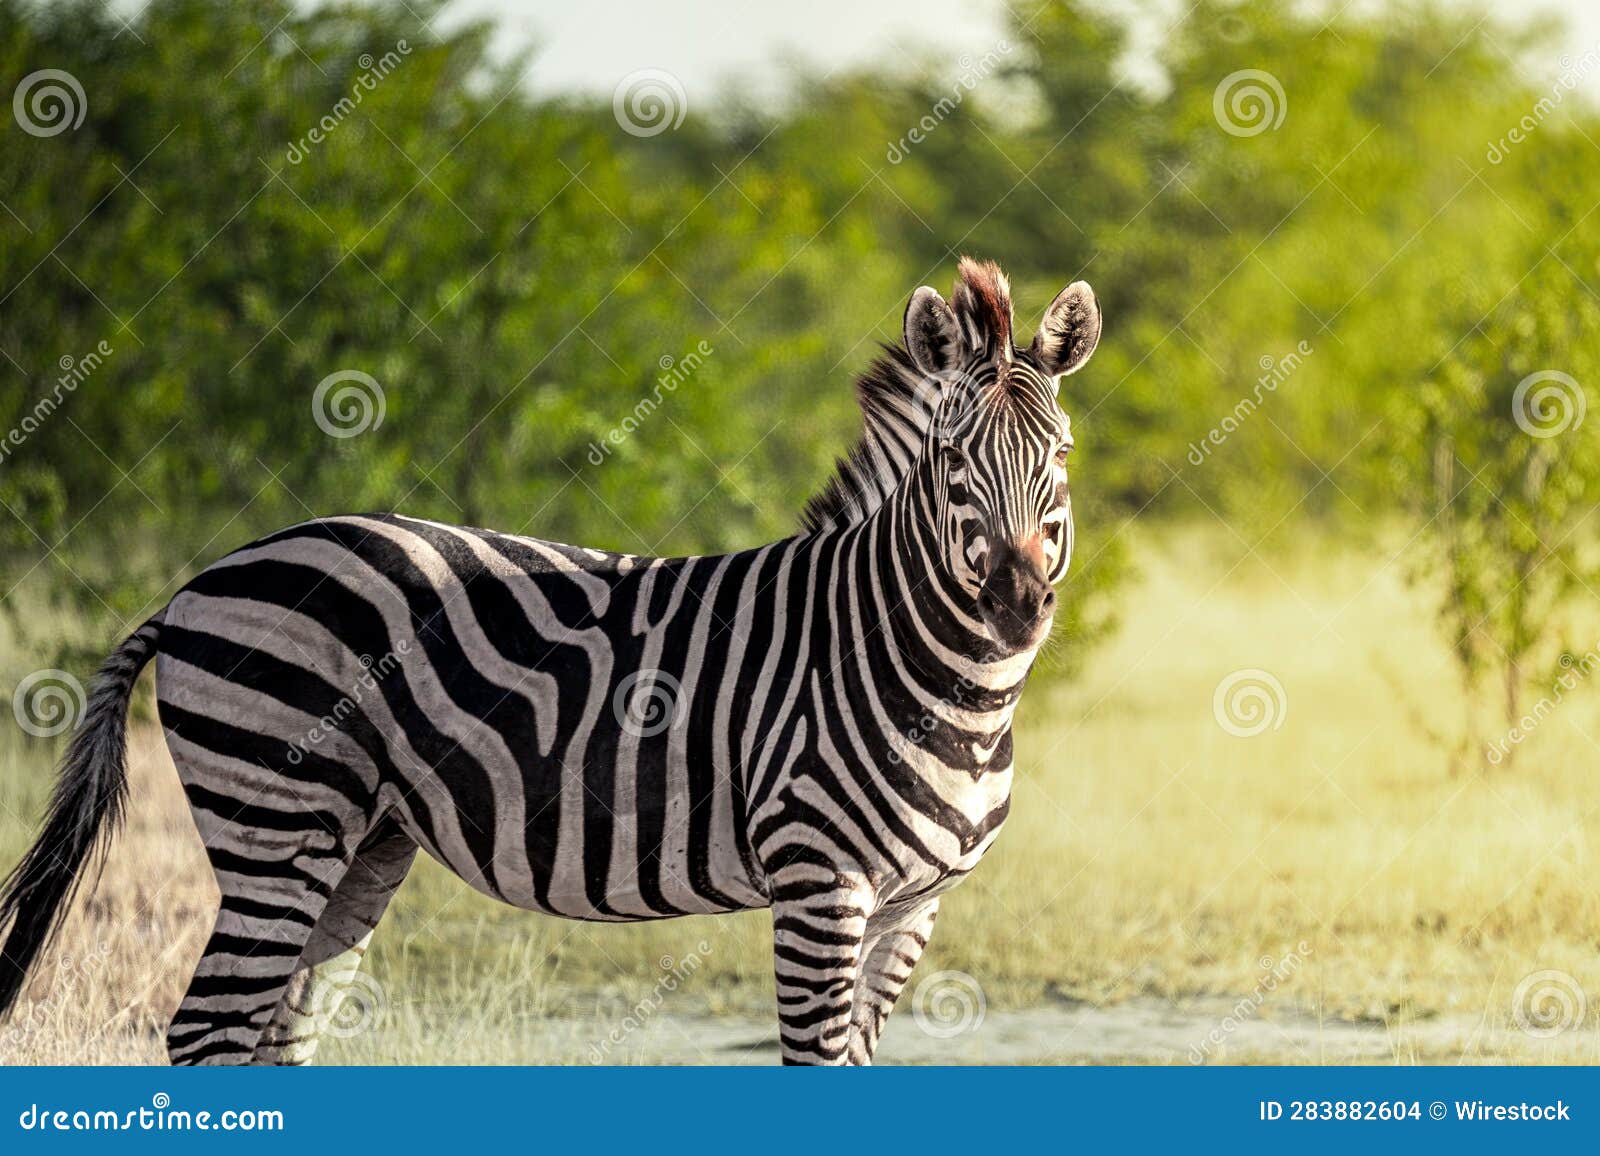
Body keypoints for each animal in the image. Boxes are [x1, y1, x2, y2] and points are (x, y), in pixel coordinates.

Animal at [0, 257, 1101, 1065]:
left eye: (1060, 458)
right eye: (953, 464)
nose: (1014, 605)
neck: (928, 678)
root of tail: (199, 581)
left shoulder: (915, 903)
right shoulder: (817, 879)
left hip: (361, 840)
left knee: (278, 1034)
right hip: (277, 819)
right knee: (209, 1030)